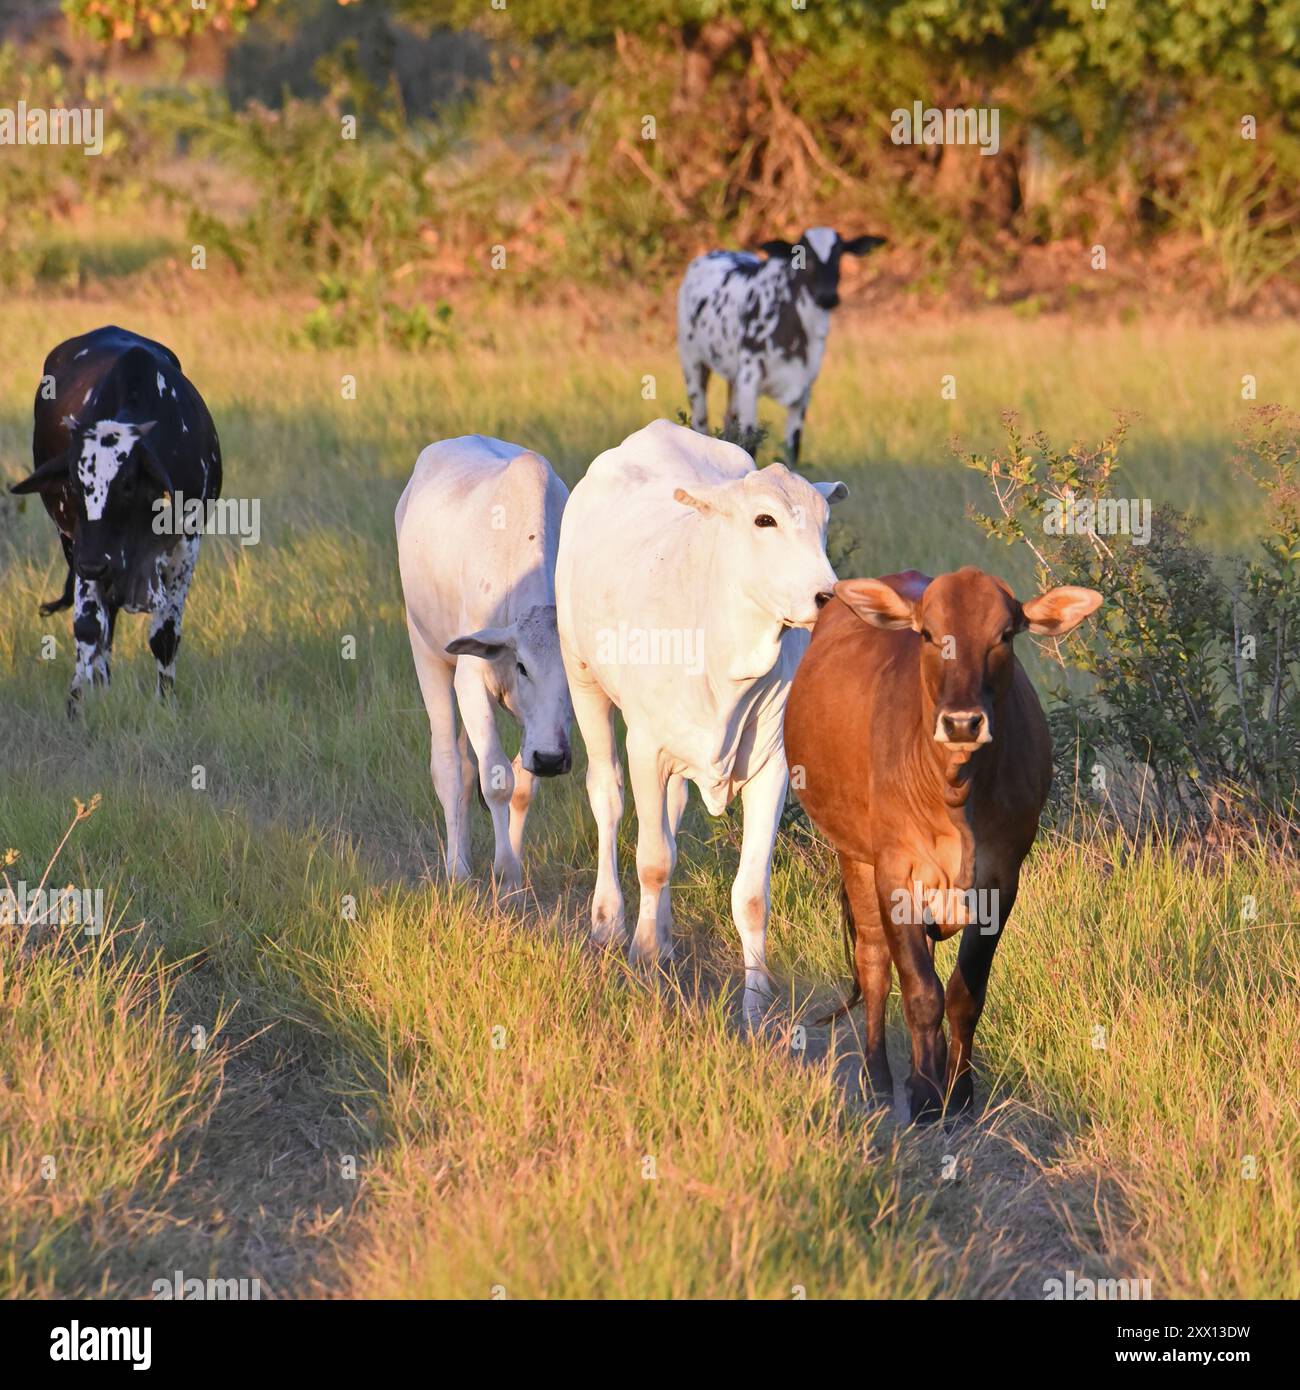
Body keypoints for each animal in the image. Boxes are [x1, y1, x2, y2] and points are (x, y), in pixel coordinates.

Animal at [8, 325, 222, 714]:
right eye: (72, 483)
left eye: (126, 483)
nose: (93, 565)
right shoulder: (83, 546)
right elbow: (90, 628)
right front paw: (77, 704)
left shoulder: (186, 544)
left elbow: (165, 635)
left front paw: (165, 705)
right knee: (103, 624)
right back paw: (100, 686)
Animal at [396, 435, 574, 892]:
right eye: (522, 666)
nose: (553, 759)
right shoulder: (471, 681)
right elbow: (495, 780)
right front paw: (505, 871)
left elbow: (523, 784)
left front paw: (514, 875)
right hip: (426, 652)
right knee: (451, 767)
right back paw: (457, 869)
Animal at [556, 419, 847, 1025]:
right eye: (764, 520)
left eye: (824, 523)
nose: (825, 596)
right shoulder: (646, 748)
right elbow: (653, 861)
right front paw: (643, 961)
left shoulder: (773, 767)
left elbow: (751, 895)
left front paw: (756, 1005)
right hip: (582, 677)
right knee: (608, 797)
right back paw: (610, 922)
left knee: (669, 811)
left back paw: (663, 934)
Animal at [677, 226, 886, 465]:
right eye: (805, 255)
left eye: (840, 253)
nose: (827, 296)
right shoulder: (749, 384)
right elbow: (750, 446)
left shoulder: (802, 393)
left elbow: (792, 450)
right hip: (693, 364)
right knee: (701, 421)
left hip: (733, 379)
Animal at [784, 567, 1102, 1122]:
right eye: (929, 635)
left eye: (1004, 635)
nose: (961, 722)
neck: (955, 792)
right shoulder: (896, 872)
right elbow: (920, 992)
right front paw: (928, 1097)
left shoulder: (1002, 879)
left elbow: (963, 993)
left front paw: (960, 1092)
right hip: (854, 857)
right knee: (873, 962)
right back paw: (879, 1080)